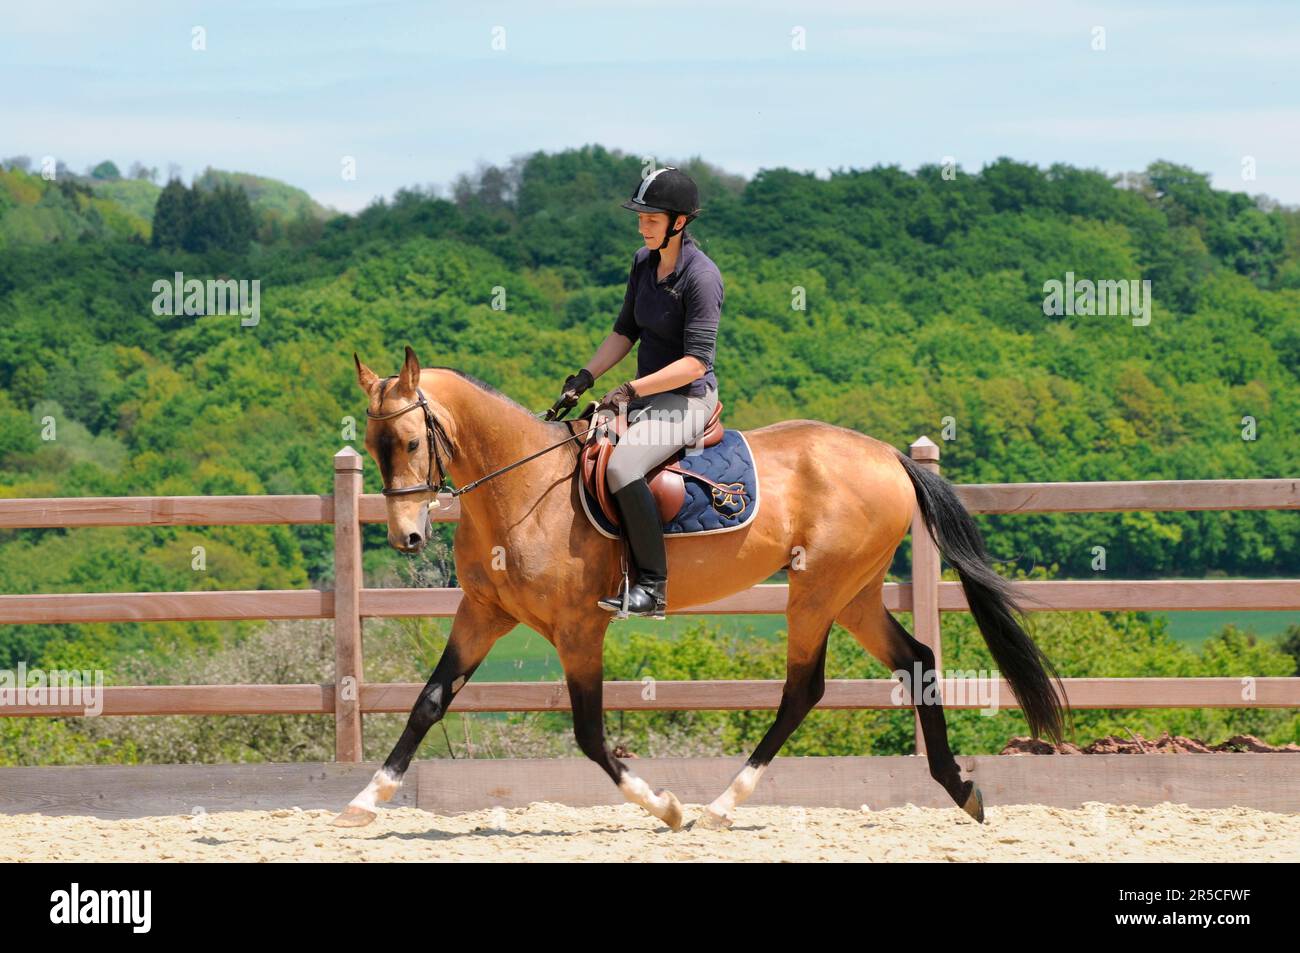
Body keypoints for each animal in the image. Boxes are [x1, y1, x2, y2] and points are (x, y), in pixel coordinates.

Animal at [332, 346, 1069, 830]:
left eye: (408, 441)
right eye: (372, 444)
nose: (407, 538)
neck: (522, 490)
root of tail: (886, 453)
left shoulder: (579, 630)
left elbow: (590, 734)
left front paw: (665, 806)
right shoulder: (482, 613)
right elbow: (429, 701)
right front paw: (365, 800)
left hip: (818, 591)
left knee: (804, 689)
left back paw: (719, 805)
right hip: (854, 593)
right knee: (915, 659)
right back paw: (961, 789)